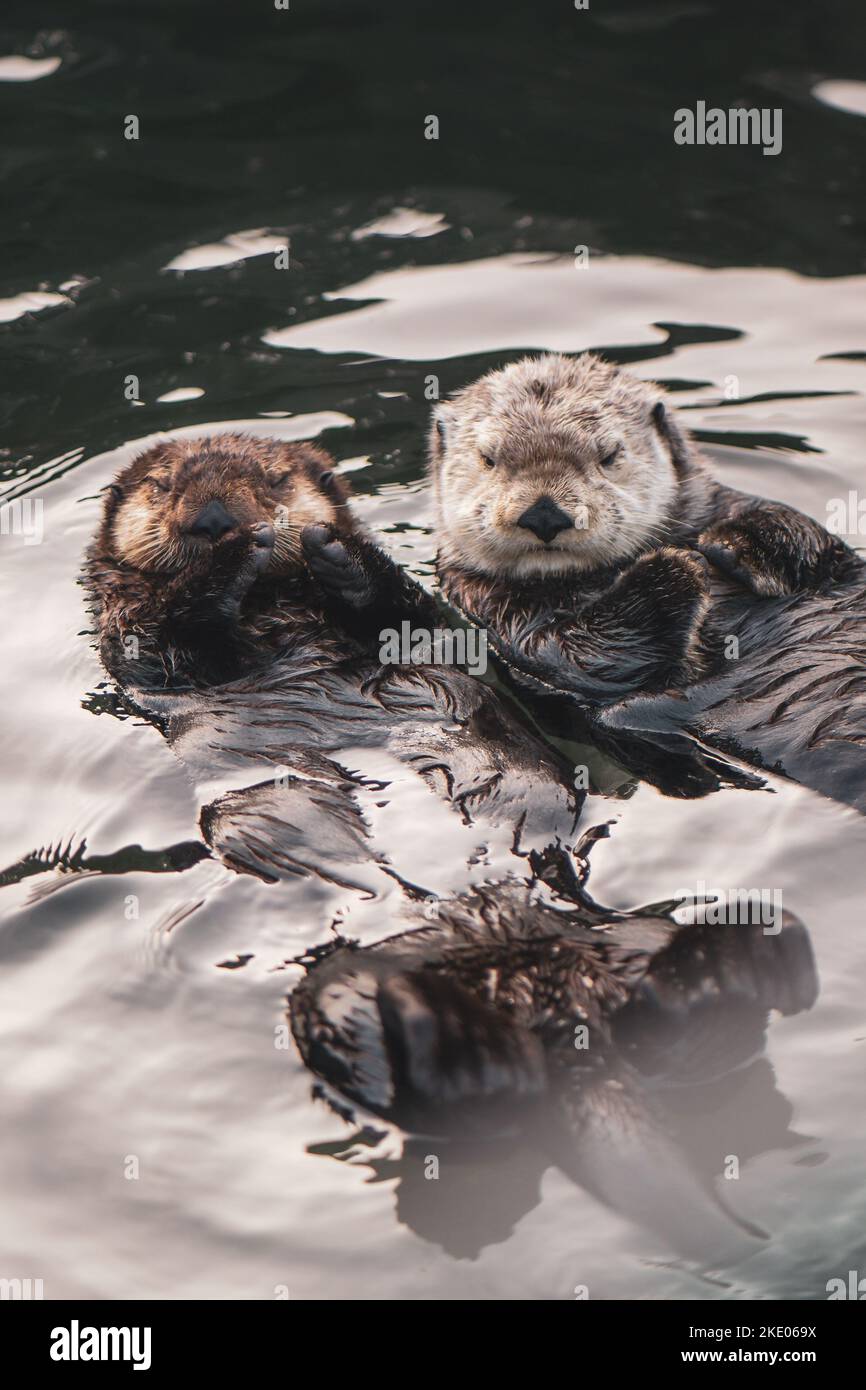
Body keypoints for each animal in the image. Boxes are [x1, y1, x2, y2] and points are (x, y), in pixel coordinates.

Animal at [84, 432, 579, 887]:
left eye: (276, 479)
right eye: (162, 484)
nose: (214, 519)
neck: (267, 604)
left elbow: (412, 620)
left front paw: (338, 552)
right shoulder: (131, 630)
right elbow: (159, 644)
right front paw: (236, 552)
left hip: (522, 771)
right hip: (269, 807)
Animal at [429, 352, 866, 812]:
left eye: (609, 455)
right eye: (488, 459)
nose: (544, 514)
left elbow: (822, 549)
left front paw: (734, 544)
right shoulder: (499, 611)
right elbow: (586, 653)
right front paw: (678, 569)